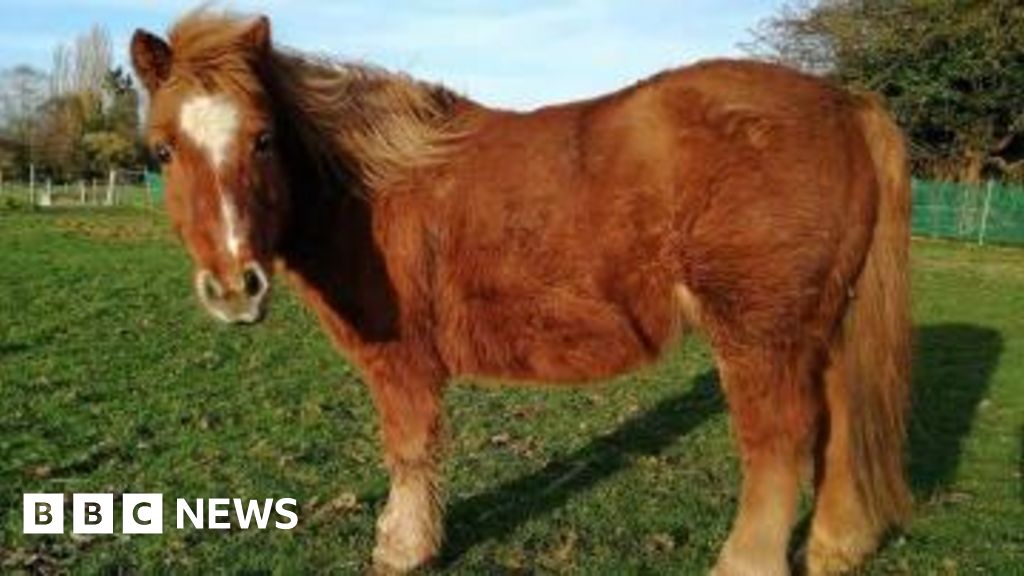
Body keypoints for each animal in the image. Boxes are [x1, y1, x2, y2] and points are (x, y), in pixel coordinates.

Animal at [130, 11, 911, 575]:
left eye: (263, 139)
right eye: (163, 149)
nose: (235, 288)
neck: (373, 184)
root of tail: (844, 103)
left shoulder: (402, 363)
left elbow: (409, 450)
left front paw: (403, 547)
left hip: (760, 335)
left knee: (779, 443)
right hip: (823, 327)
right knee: (840, 421)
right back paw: (838, 546)